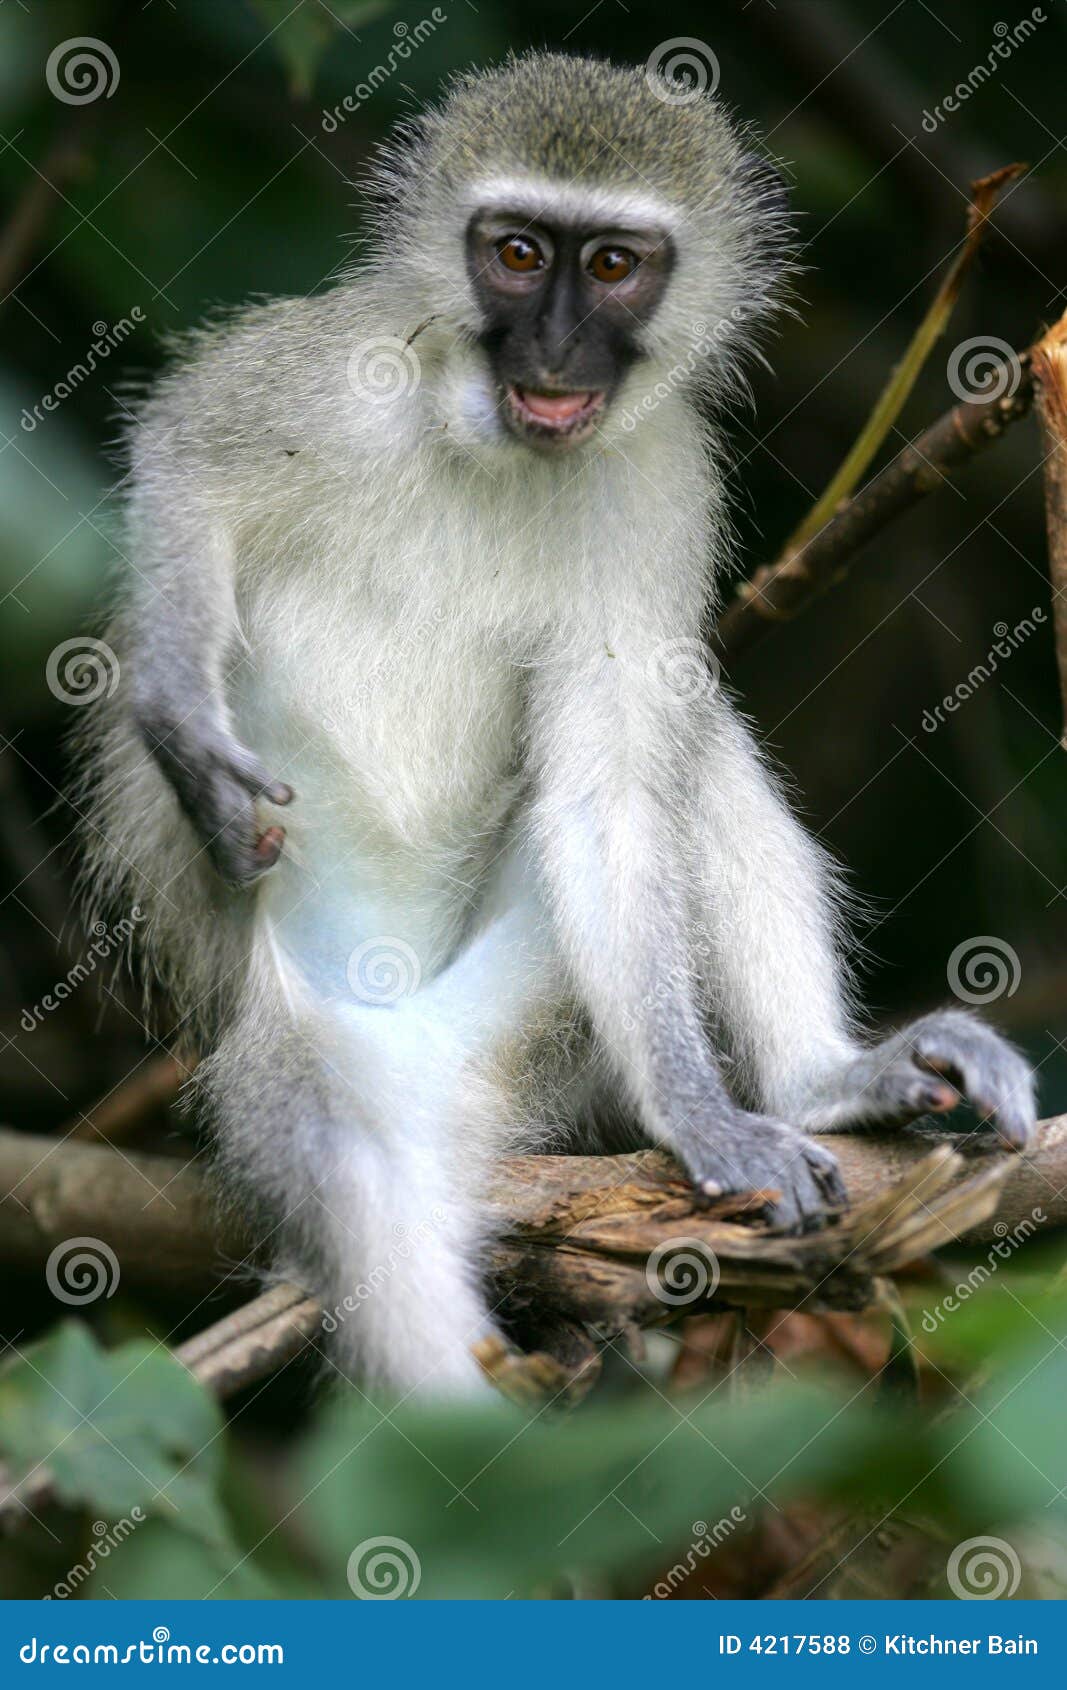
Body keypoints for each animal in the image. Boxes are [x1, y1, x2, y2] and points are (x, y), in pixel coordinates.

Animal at [80, 52, 1036, 1397]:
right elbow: (183, 452)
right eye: (519, 253)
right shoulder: (339, 363)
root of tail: (406, 1038)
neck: (492, 445)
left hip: (524, 1015)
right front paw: (173, 705)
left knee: (687, 750)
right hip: (299, 1052)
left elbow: (611, 791)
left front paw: (699, 1114)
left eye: (616, 265)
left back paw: (817, 1083)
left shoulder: (662, 480)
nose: (555, 342)